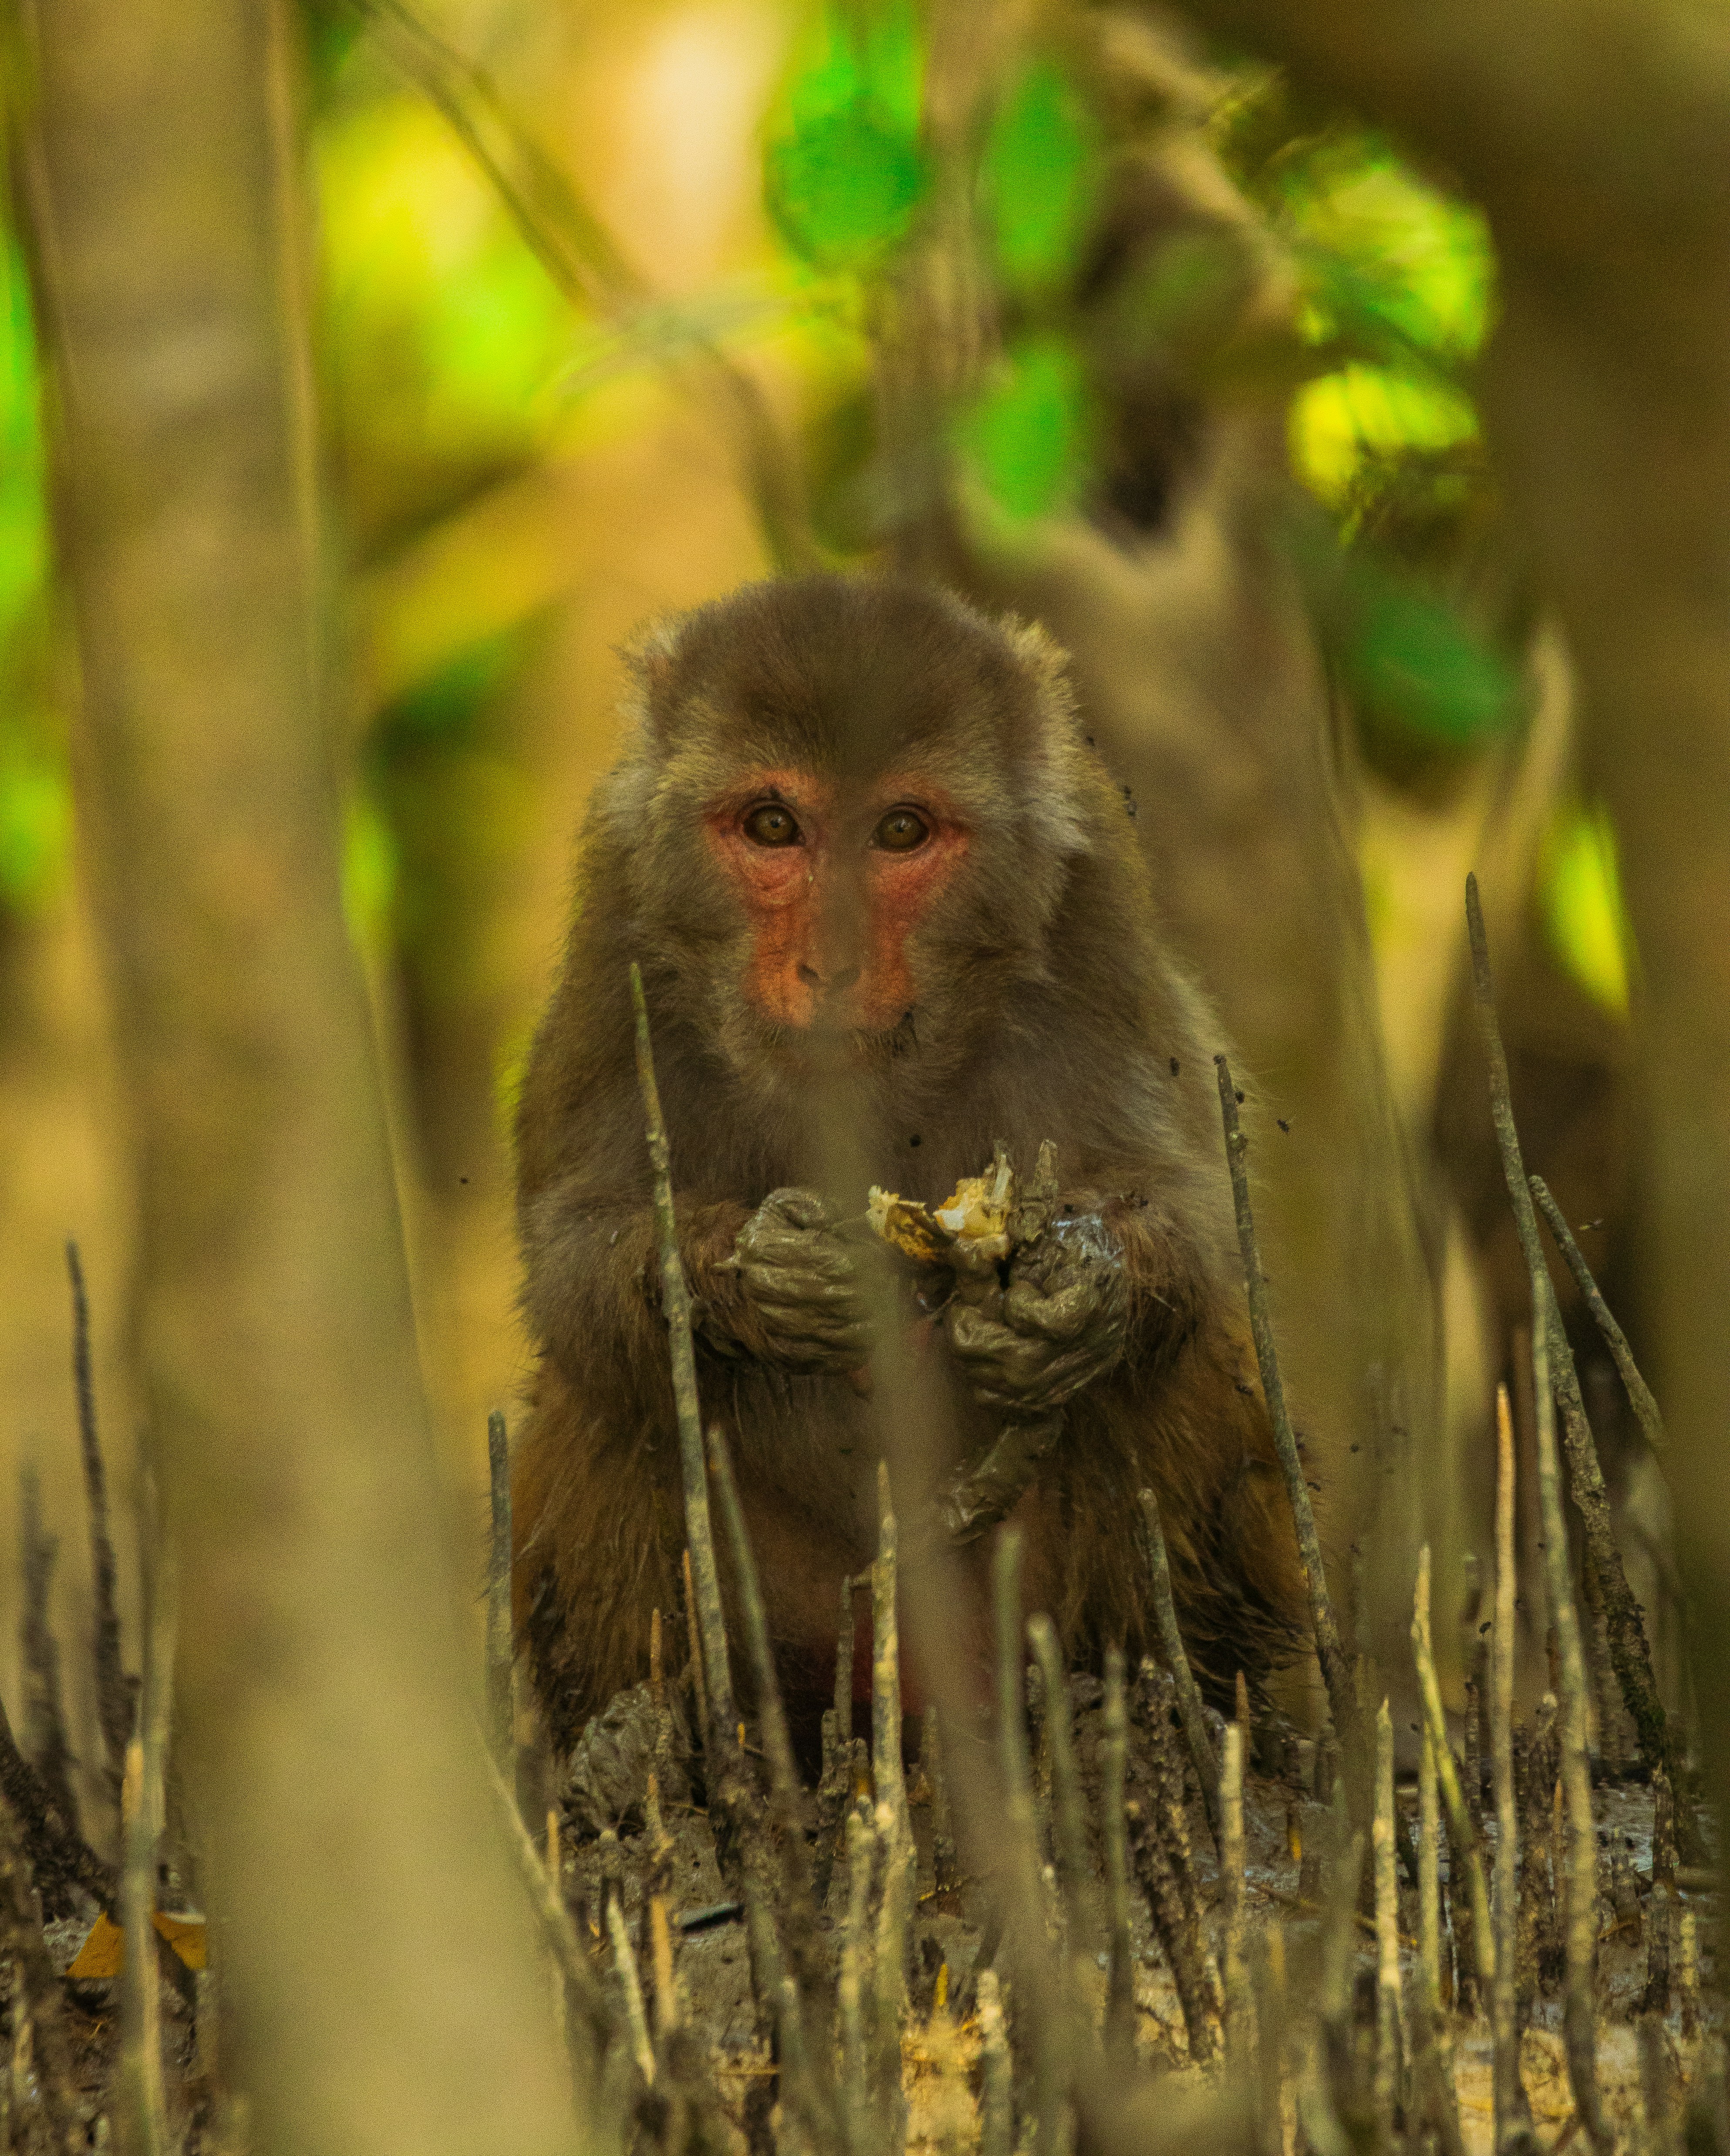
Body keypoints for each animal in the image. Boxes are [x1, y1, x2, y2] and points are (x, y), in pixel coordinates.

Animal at [510, 573, 1307, 1756]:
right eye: (772, 825)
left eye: (900, 831)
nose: (831, 964)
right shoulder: (619, 922)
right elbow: (571, 1254)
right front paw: (762, 1280)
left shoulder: (1092, 907)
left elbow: (1194, 1217)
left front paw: (1071, 1296)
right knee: (615, 1393)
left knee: (1174, 1368)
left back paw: (1147, 1696)